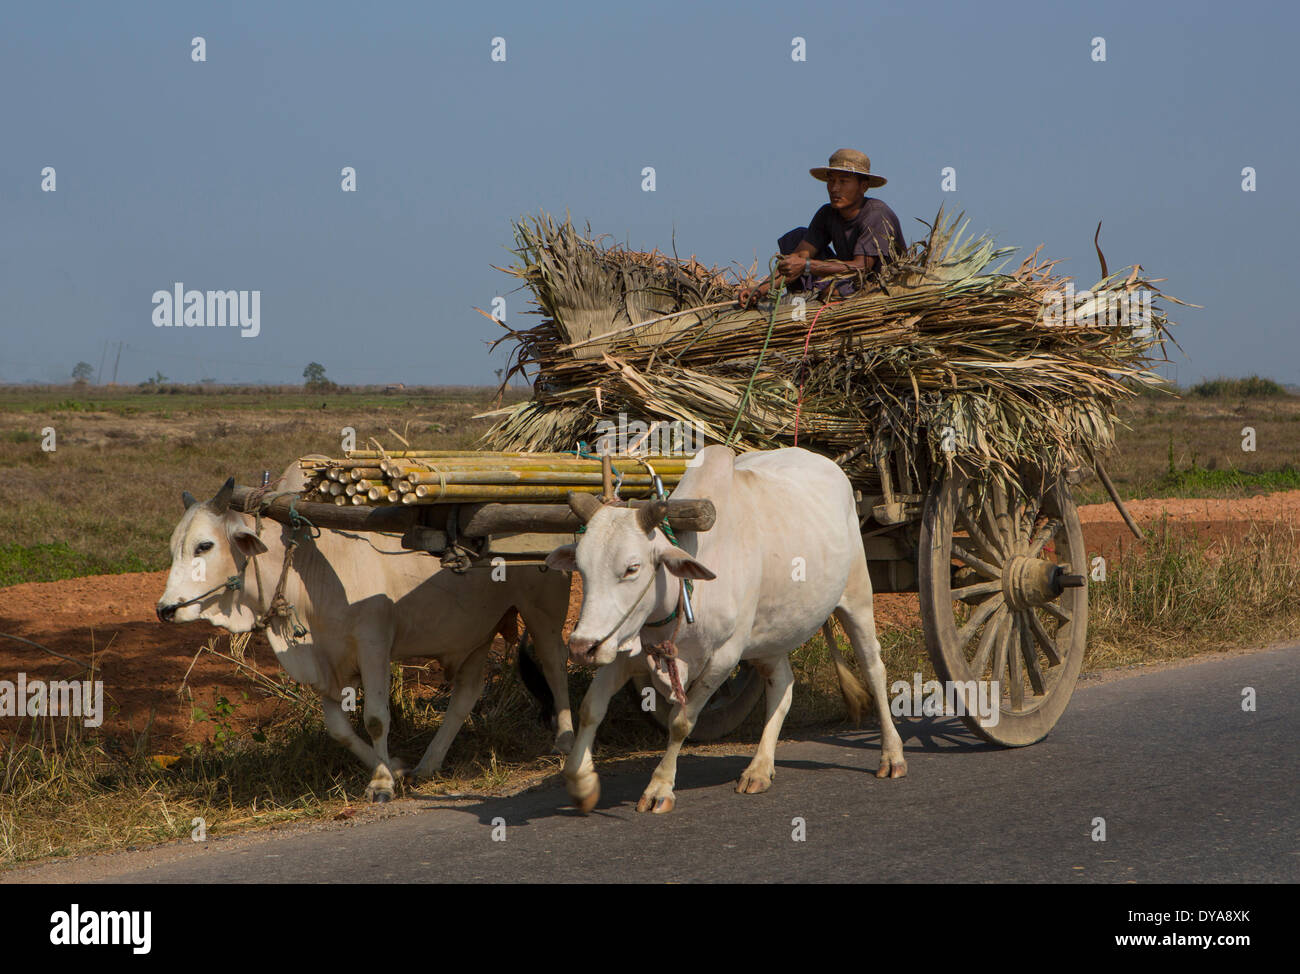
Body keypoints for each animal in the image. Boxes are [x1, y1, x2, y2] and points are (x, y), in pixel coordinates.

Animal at [156, 459, 573, 802]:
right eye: (174, 547)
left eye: (204, 546)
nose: (164, 609)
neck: (303, 561)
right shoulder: (321, 662)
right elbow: (339, 729)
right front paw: (396, 767)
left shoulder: (373, 643)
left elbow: (375, 717)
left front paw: (383, 782)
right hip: (474, 632)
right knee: (466, 694)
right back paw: (428, 764)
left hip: (543, 609)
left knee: (555, 666)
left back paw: (566, 741)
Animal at [545, 444, 906, 814]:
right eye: (581, 567)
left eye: (632, 568)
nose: (581, 647)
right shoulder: (622, 648)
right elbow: (591, 709)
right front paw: (581, 782)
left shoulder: (724, 657)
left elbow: (682, 721)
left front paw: (660, 787)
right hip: (770, 634)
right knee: (783, 685)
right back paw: (759, 768)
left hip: (856, 598)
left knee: (873, 669)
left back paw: (892, 755)